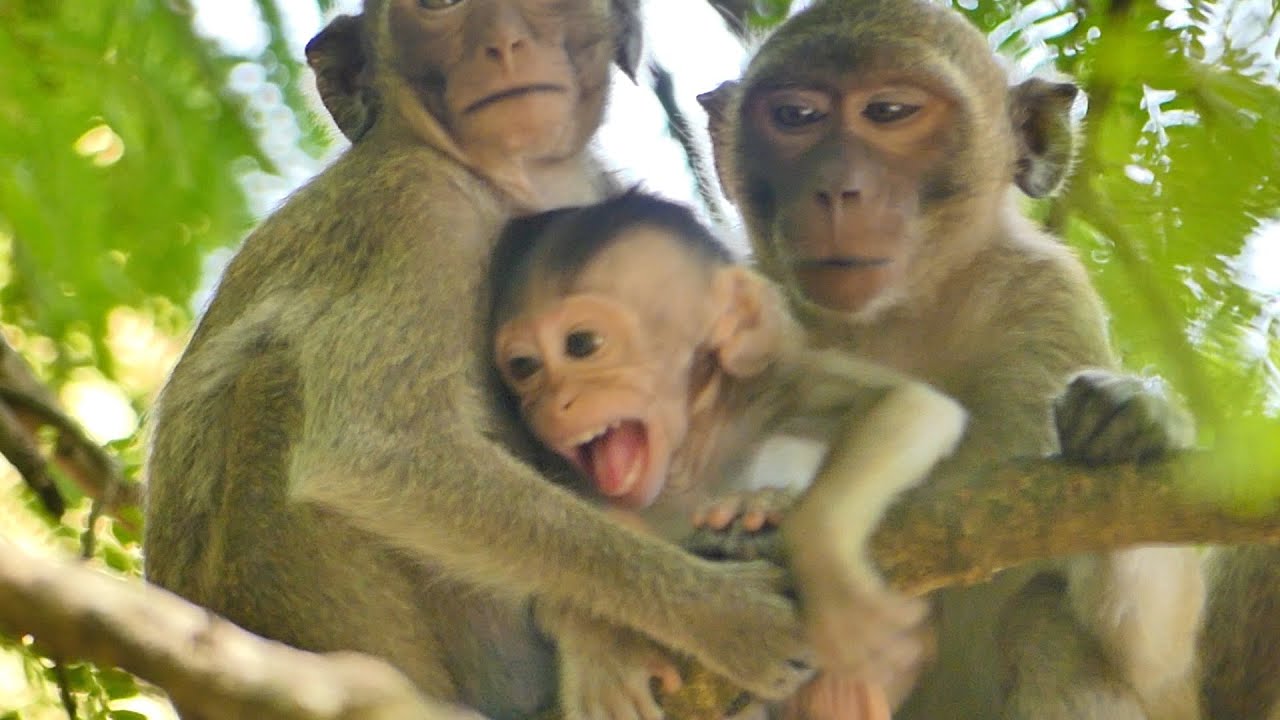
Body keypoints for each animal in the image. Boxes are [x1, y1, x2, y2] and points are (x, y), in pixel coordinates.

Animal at [143, 3, 818, 718]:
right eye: (437, 9)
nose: (505, 44)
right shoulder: (412, 212)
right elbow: (373, 448)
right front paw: (719, 615)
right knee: (274, 381)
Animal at [487, 189, 965, 720]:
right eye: (523, 367)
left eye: (582, 344)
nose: (551, 405)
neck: (690, 453)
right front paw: (597, 647)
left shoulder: (775, 387)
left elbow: (908, 403)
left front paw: (825, 566)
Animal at [696, 1, 1205, 718]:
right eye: (797, 116)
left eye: (889, 112)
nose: (837, 189)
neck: (890, 326)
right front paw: (752, 512)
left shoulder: (1049, 306)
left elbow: (1153, 662)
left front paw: (1135, 420)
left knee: (1048, 625)